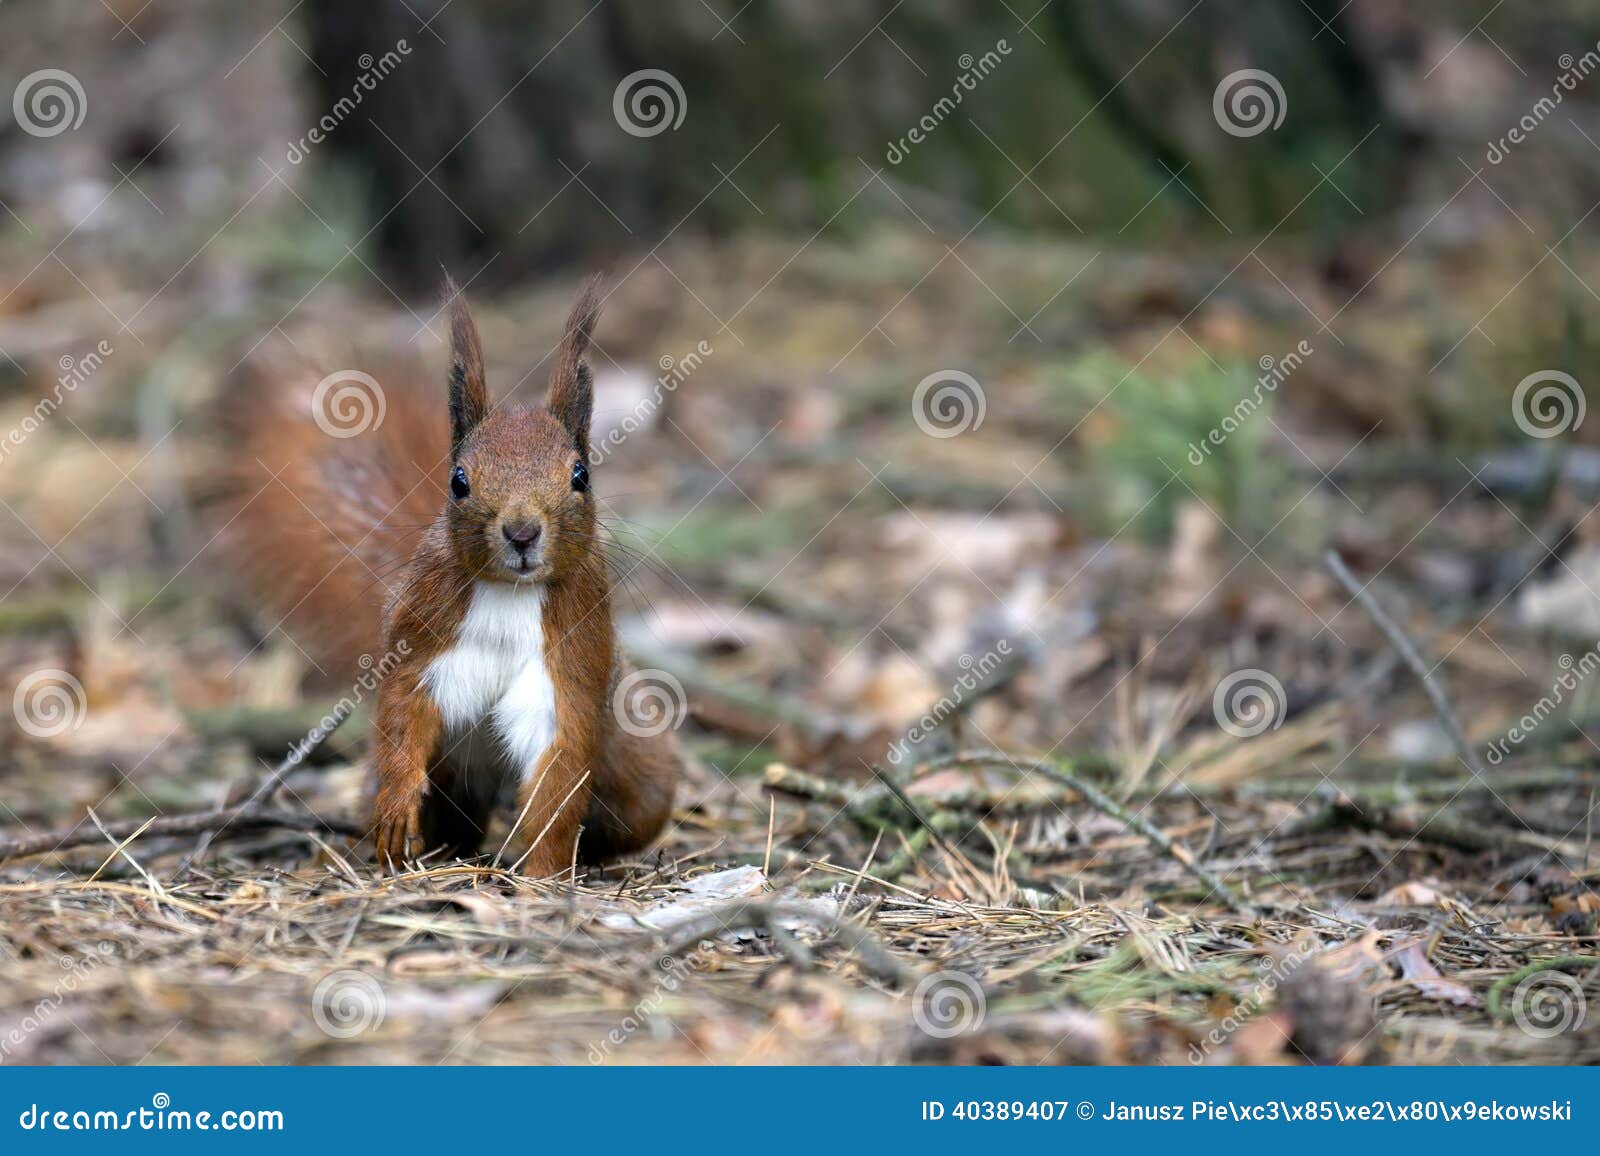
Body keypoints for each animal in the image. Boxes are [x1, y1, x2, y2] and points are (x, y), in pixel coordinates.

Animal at [215, 279, 679, 874]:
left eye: (581, 475)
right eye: (459, 480)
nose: (522, 532)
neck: (509, 591)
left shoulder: (575, 651)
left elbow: (559, 770)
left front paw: (542, 871)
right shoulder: (422, 631)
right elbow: (402, 710)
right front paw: (397, 809)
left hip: (640, 774)